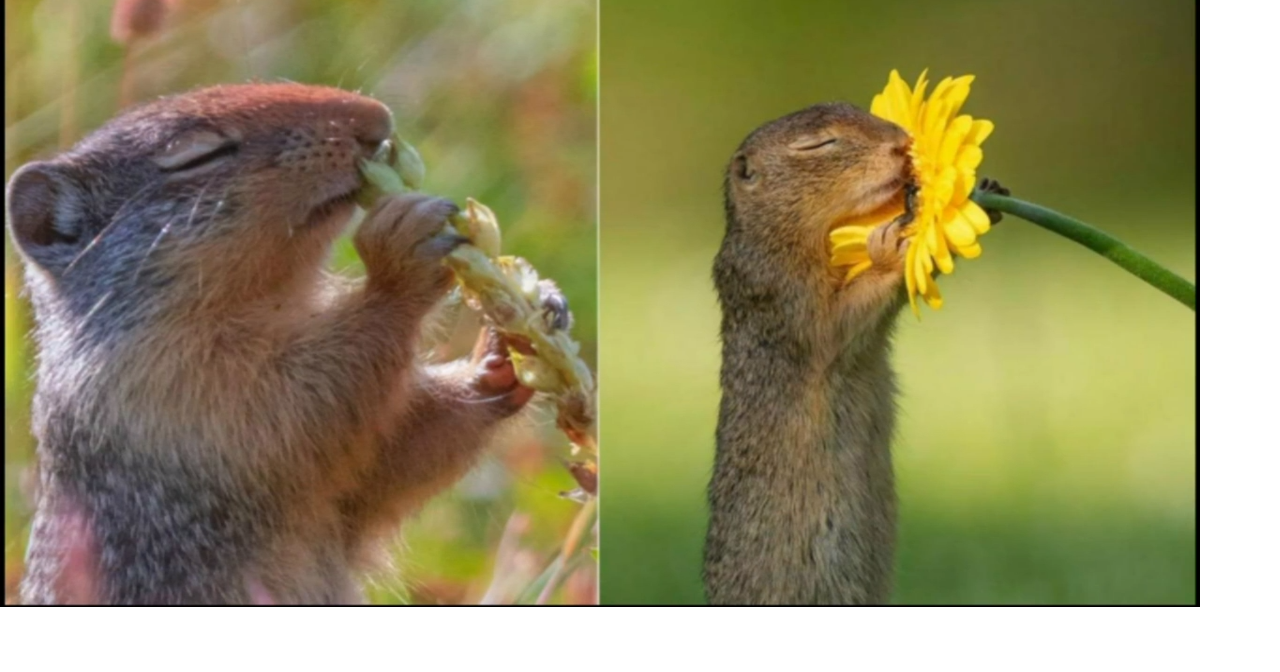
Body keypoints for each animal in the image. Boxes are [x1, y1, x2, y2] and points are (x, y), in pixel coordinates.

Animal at [5, 82, 568, 604]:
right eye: (198, 155)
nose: (376, 119)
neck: (272, 299)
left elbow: (385, 467)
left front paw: (506, 351)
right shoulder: (167, 390)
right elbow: (294, 405)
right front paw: (399, 253)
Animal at [704, 102, 1005, 604]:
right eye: (819, 144)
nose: (902, 144)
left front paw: (987, 194)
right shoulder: (781, 292)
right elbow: (837, 322)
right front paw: (893, 244)